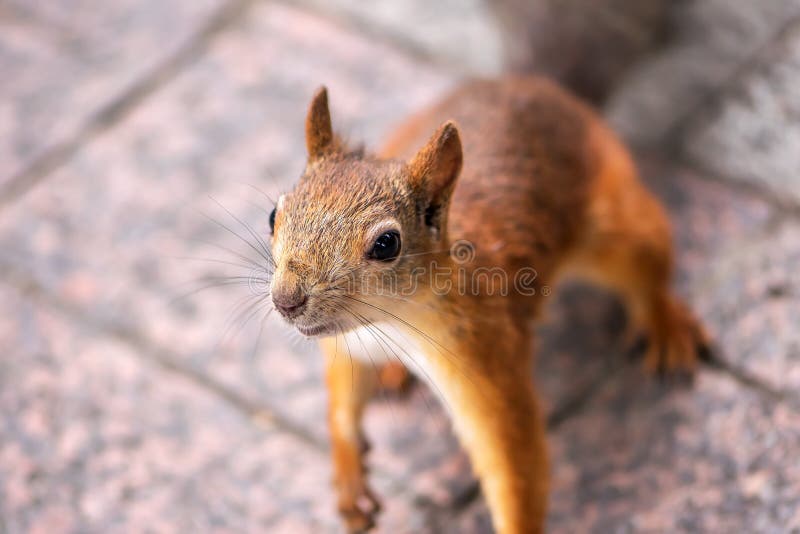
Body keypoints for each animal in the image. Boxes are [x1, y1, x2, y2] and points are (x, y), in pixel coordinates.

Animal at [267, 77, 709, 534]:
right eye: (273, 215)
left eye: (386, 244)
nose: (286, 301)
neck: (388, 323)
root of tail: (534, 83)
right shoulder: (350, 346)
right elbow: (342, 405)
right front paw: (349, 479)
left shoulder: (485, 354)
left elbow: (512, 455)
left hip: (612, 230)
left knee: (647, 261)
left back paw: (665, 322)